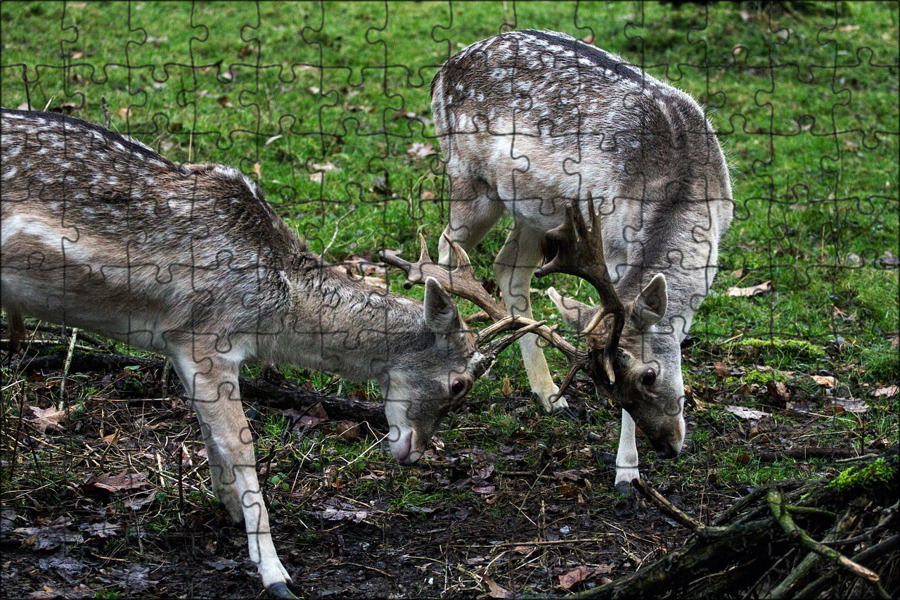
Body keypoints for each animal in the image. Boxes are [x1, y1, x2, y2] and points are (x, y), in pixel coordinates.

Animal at [0, 108, 538, 598]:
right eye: (459, 384)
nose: (416, 452)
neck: (276, 310)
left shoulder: (177, 344)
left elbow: (210, 437)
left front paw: (229, 512)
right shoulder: (208, 338)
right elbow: (242, 445)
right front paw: (275, 573)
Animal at [427, 30, 734, 488]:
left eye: (648, 376)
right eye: (613, 387)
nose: (667, 446)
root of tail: (441, 72)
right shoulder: (612, 244)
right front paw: (627, 474)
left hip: (537, 208)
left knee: (508, 267)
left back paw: (549, 395)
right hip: (469, 179)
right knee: (445, 250)